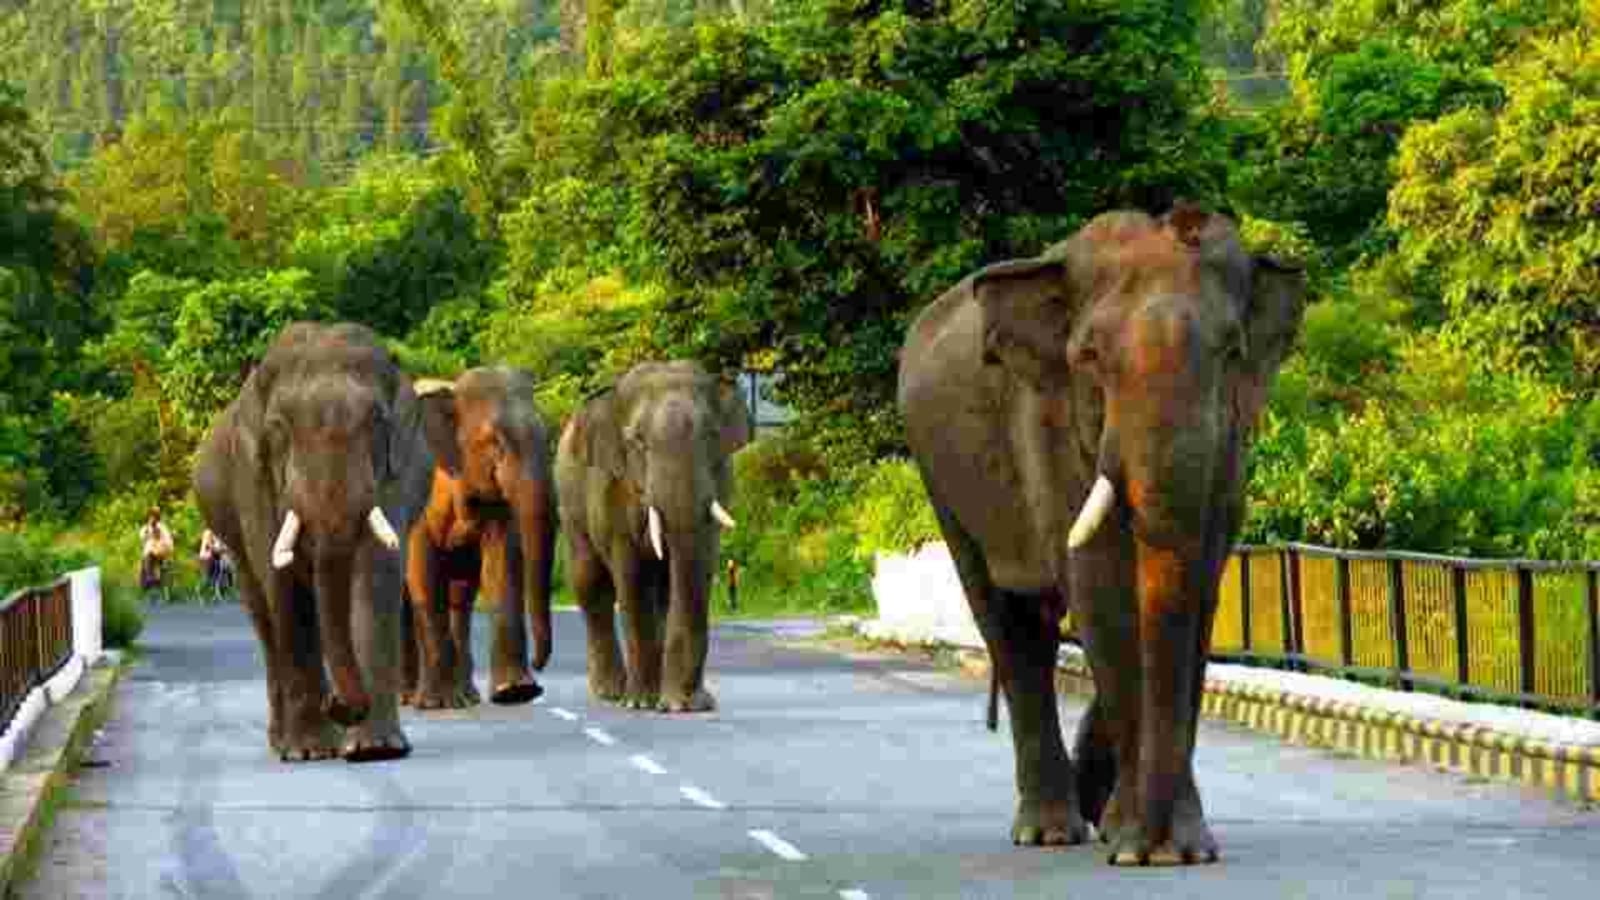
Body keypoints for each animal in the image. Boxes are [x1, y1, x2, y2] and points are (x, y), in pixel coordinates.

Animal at [192, 321, 440, 762]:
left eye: (376, 422)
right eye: (278, 429)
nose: (339, 706)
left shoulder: (395, 473)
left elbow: (374, 574)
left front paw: (375, 748)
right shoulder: (253, 479)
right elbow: (283, 584)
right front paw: (309, 752)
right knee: (264, 614)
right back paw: (282, 741)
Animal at [402, 366, 556, 709]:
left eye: (547, 435)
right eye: (494, 441)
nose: (539, 664)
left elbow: (502, 566)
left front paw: (516, 692)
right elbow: (422, 574)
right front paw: (438, 703)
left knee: (461, 598)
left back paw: (464, 697)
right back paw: (414, 698)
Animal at [554, 361, 751, 713]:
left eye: (712, 435)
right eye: (638, 441)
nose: (688, 701)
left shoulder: (720, 482)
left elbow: (697, 563)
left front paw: (684, 705)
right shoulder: (612, 489)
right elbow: (631, 576)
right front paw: (641, 703)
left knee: (662, 590)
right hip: (569, 504)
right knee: (591, 584)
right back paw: (612, 693)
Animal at [897, 205, 1306, 865]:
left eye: (1233, 352)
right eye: (1088, 357)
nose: (1158, 843)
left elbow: (1198, 598)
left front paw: (1170, 846)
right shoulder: (1047, 424)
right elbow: (1103, 596)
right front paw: (1140, 848)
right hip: (941, 481)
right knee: (1010, 628)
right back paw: (1049, 832)